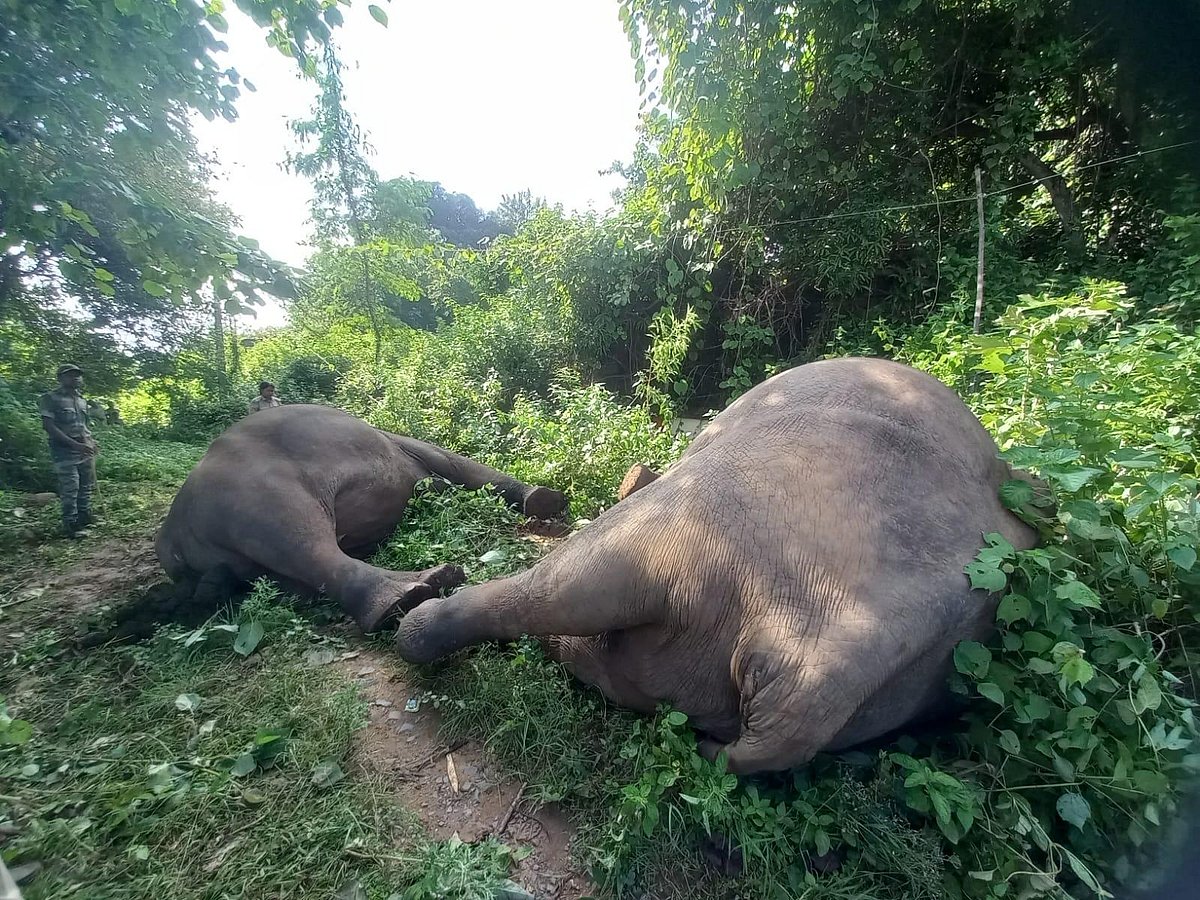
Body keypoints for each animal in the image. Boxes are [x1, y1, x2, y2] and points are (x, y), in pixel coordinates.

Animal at [154, 404, 567, 632]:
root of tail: (174, 536)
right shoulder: (404, 442)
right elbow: (453, 460)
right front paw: (548, 499)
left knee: (290, 576)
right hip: (256, 497)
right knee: (304, 542)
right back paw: (419, 591)